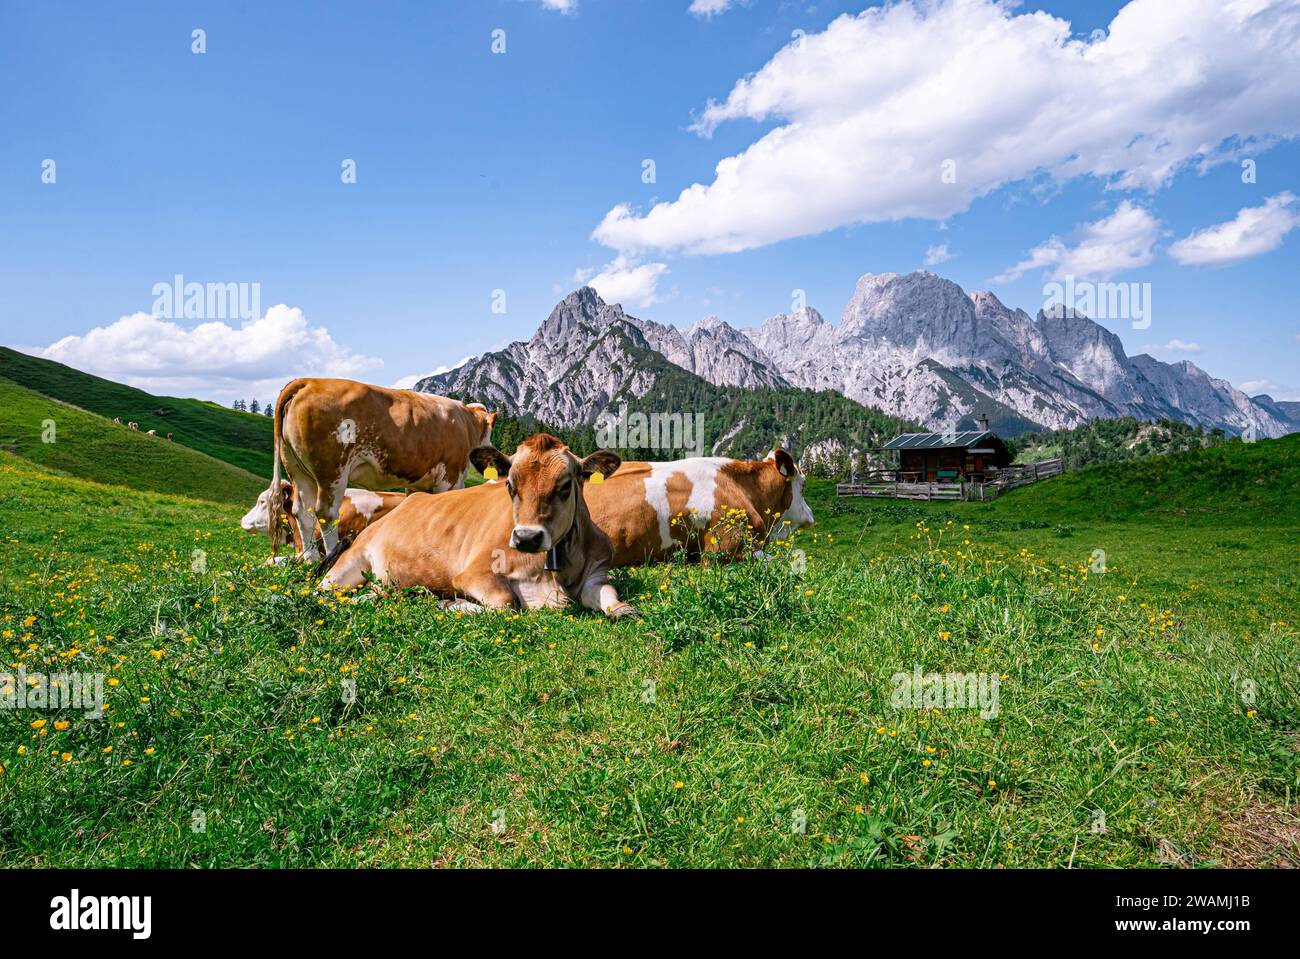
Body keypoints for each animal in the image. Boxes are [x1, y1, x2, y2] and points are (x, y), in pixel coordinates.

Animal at [267, 378, 497, 561]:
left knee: (301, 512)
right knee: (326, 513)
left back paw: (310, 560)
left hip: (297, 470)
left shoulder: (417, 483)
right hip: (332, 471)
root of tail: (309, 381)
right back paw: (331, 556)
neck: (466, 422)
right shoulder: (450, 476)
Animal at [319, 434, 639, 620]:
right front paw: (450, 604)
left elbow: (611, 595)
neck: (555, 574)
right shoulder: (474, 574)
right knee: (322, 594)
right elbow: (505, 603)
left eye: (564, 486)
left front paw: (623, 610)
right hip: (351, 562)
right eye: (510, 485)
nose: (527, 538)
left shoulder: (597, 572)